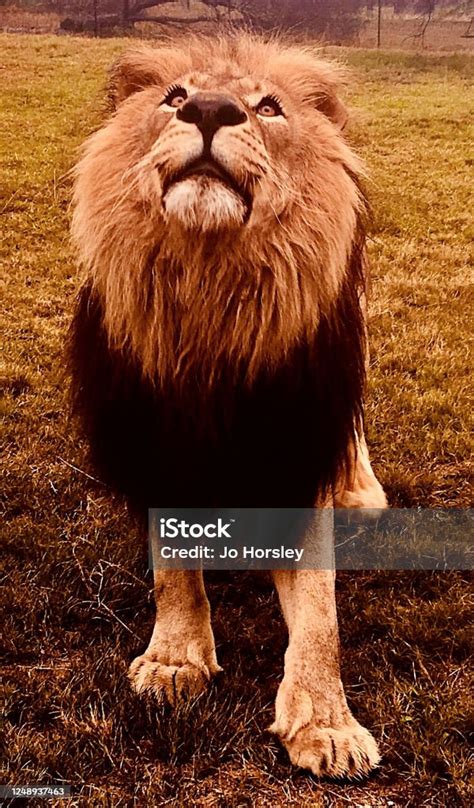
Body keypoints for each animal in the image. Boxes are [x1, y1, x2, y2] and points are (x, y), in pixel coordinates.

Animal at [69, 34, 387, 779]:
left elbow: (321, 614)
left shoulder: (297, 454)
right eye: (175, 97)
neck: (212, 298)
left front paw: (328, 724)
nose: (211, 109)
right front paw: (174, 660)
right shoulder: (159, 442)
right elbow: (172, 571)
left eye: (268, 107)